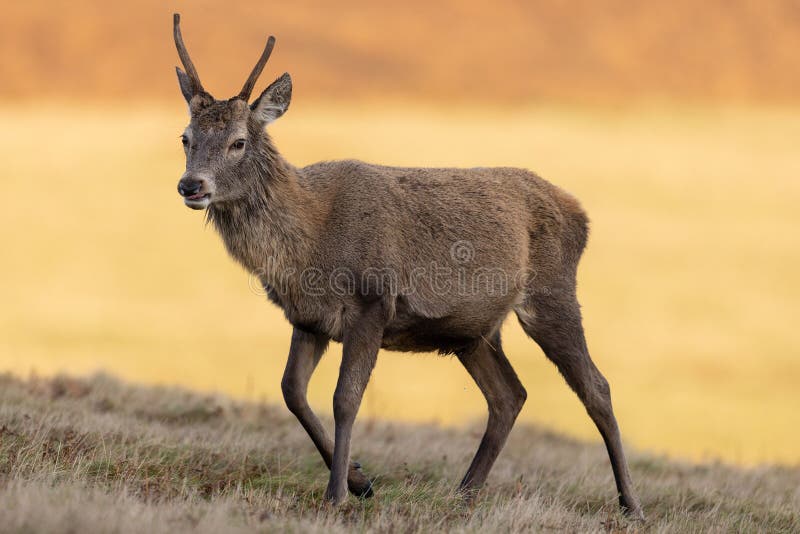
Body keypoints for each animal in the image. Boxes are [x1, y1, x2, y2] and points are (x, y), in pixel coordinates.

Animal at [171, 13, 643, 519]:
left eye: (238, 142)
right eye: (186, 137)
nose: (191, 185)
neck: (310, 244)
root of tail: (581, 213)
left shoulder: (373, 301)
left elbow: (345, 398)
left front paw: (337, 494)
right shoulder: (308, 318)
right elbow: (292, 392)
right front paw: (360, 481)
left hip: (553, 292)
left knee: (596, 388)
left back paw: (631, 503)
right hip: (471, 331)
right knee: (509, 395)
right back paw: (464, 492)